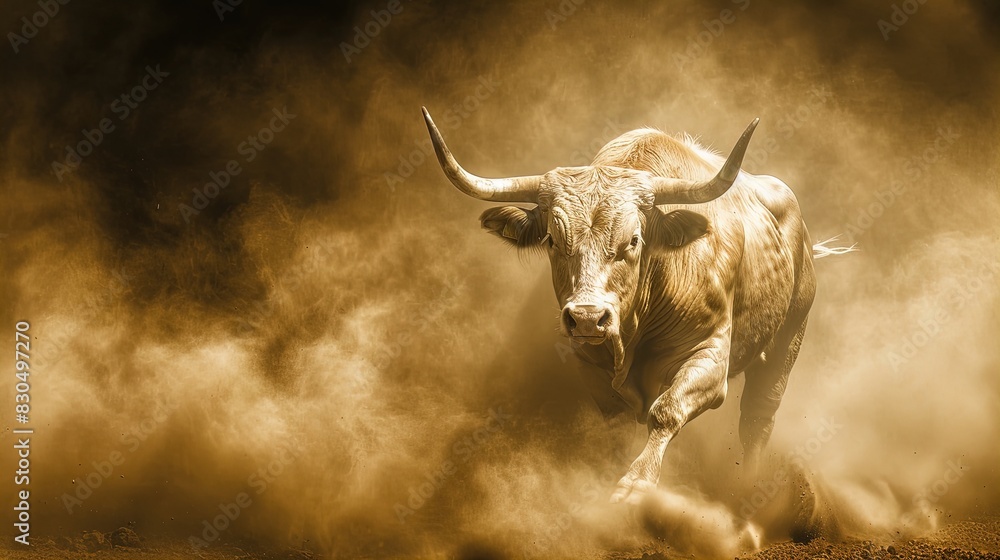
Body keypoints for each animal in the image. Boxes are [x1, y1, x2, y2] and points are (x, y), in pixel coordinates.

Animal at [421, 107, 851, 504]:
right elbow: (617, 426)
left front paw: (635, 485)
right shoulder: (589, 364)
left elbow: (666, 410)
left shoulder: (711, 358)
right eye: (552, 241)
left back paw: (750, 485)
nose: (588, 318)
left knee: (759, 416)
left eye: (633, 240)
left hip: (787, 342)